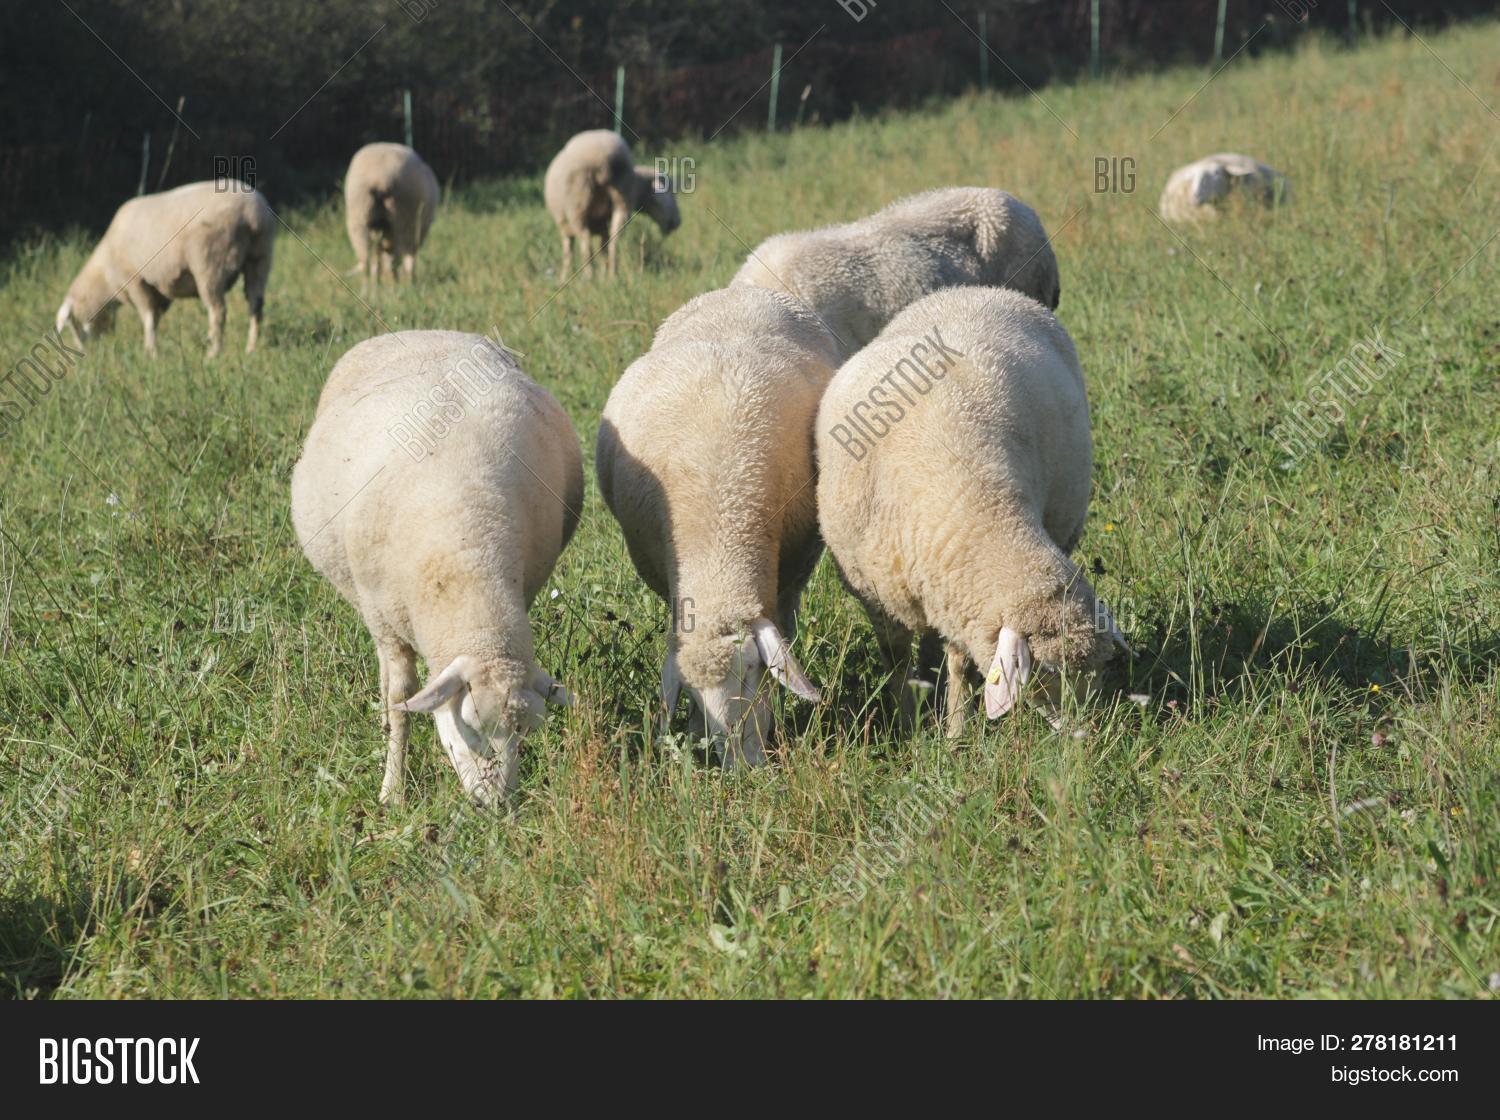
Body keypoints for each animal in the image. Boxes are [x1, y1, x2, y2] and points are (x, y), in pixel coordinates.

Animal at [55, 180, 274, 358]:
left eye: (71, 323)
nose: (85, 354)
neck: (105, 279)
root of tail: (252, 212)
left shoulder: (136, 281)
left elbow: (148, 317)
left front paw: (151, 352)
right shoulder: (159, 289)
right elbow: (155, 318)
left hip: (209, 263)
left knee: (218, 310)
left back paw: (213, 353)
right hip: (260, 258)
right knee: (256, 304)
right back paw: (250, 349)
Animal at [291, 330, 583, 806]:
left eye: (523, 734)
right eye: (471, 728)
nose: (496, 805)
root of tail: (422, 331)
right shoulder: (385, 617)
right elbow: (401, 698)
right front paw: (393, 789)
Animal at [343, 142, 441, 285]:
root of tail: (379, 178)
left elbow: (379, 260)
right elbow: (408, 260)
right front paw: (410, 281)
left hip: (359, 217)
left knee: (367, 261)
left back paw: (370, 289)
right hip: (402, 220)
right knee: (396, 260)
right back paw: (398, 285)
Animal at [544, 129, 681, 279]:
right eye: (670, 193)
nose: (677, 222)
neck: (638, 188)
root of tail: (603, 157)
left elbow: (570, 253)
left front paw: (566, 276)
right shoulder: (599, 225)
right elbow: (597, 249)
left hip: (578, 208)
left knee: (587, 245)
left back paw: (590, 277)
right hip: (619, 200)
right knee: (612, 242)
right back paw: (611, 275)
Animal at [815, 285, 1127, 736]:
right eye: (1048, 670)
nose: (1085, 732)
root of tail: (984, 290)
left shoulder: (960, 594)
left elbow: (960, 663)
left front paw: (955, 730)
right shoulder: (878, 596)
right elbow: (896, 664)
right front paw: (909, 724)